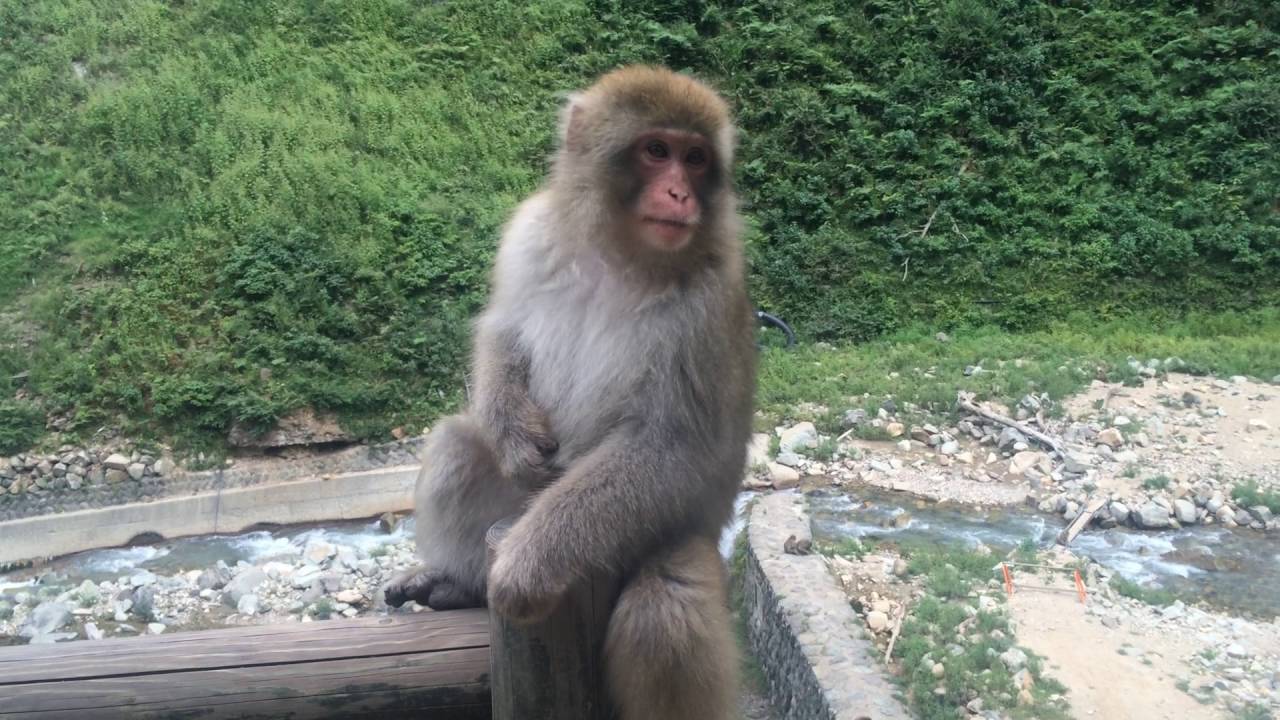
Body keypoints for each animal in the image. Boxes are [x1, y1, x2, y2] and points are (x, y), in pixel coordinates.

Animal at [383, 65, 755, 720]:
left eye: (697, 159)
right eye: (657, 151)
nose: (680, 195)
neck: (621, 253)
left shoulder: (708, 303)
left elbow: (671, 446)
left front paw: (527, 570)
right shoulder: (529, 232)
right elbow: (502, 327)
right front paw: (510, 431)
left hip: (665, 534)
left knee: (666, 602)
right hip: (514, 504)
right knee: (456, 446)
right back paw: (459, 583)